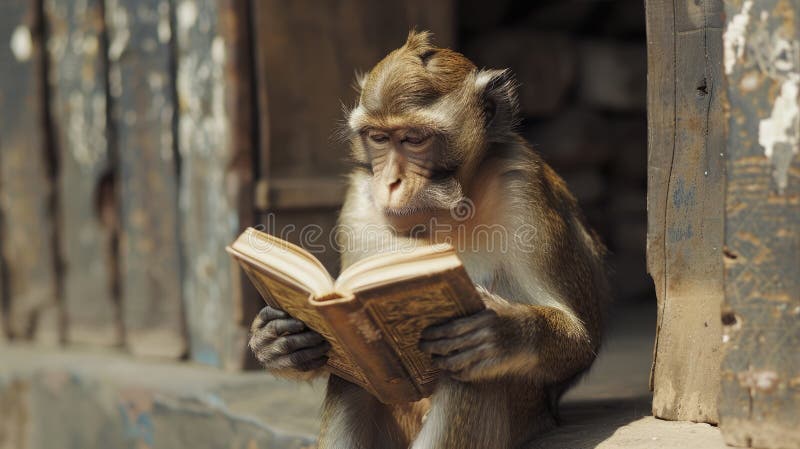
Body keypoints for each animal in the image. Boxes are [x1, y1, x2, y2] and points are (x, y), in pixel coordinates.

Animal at [248, 31, 610, 449]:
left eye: (414, 138)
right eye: (378, 137)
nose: (390, 182)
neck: (449, 206)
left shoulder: (522, 186)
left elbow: (580, 340)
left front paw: (502, 331)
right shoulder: (359, 201)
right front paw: (277, 340)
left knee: (471, 375)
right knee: (353, 380)